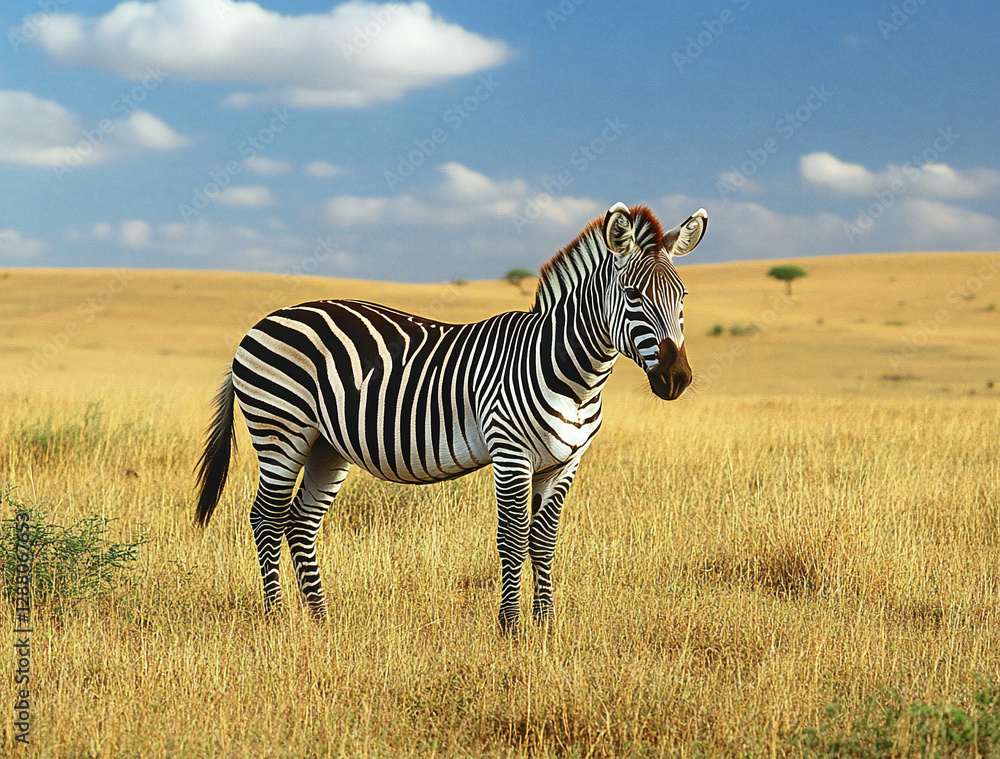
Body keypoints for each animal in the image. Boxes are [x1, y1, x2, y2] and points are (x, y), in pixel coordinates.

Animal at [195, 202, 707, 631]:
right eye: (633, 295)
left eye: (682, 296)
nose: (676, 379)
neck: (571, 375)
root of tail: (263, 321)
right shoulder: (510, 452)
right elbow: (512, 537)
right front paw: (510, 626)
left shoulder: (565, 462)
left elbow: (544, 540)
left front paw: (545, 623)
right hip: (279, 430)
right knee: (265, 517)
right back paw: (276, 616)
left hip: (326, 445)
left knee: (300, 522)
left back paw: (321, 619)